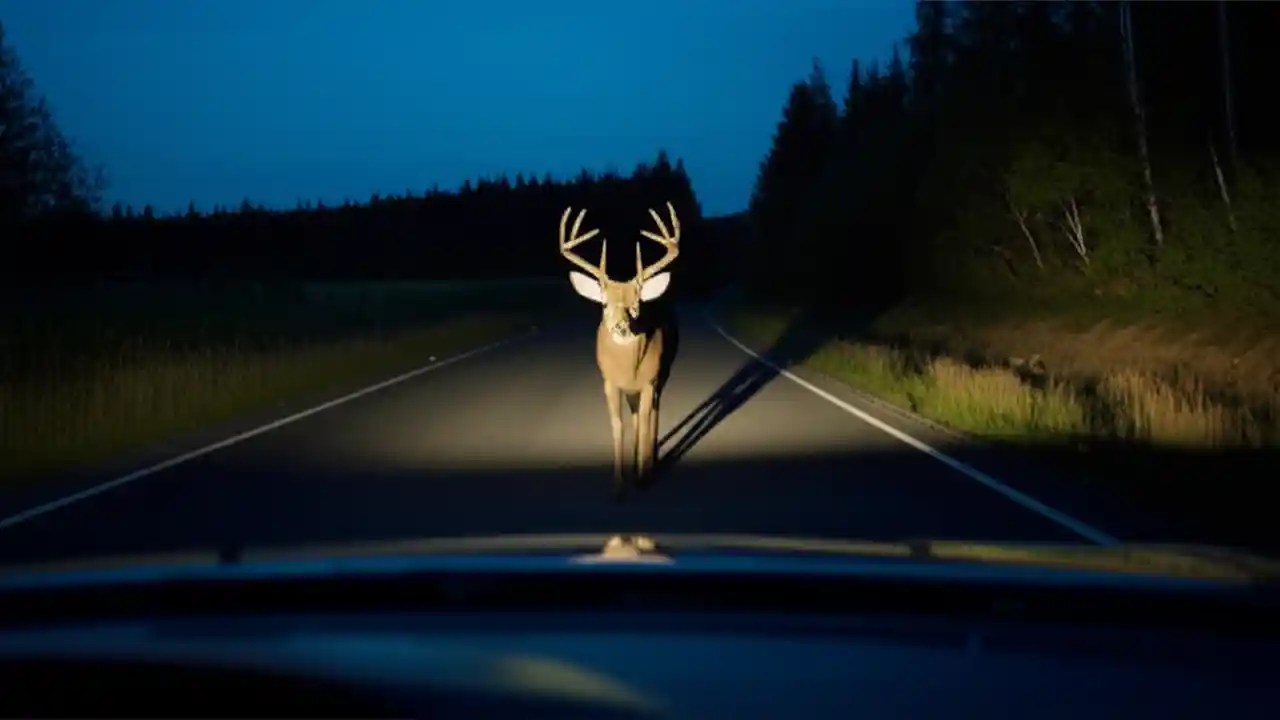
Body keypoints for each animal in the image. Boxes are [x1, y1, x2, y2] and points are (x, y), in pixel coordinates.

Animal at [559, 202, 680, 495]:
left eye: (636, 305)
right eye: (604, 304)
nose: (621, 326)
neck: (629, 370)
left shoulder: (649, 380)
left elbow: (646, 422)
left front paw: (643, 475)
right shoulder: (610, 382)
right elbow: (619, 426)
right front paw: (618, 485)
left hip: (663, 374)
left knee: (653, 413)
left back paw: (650, 461)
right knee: (636, 416)